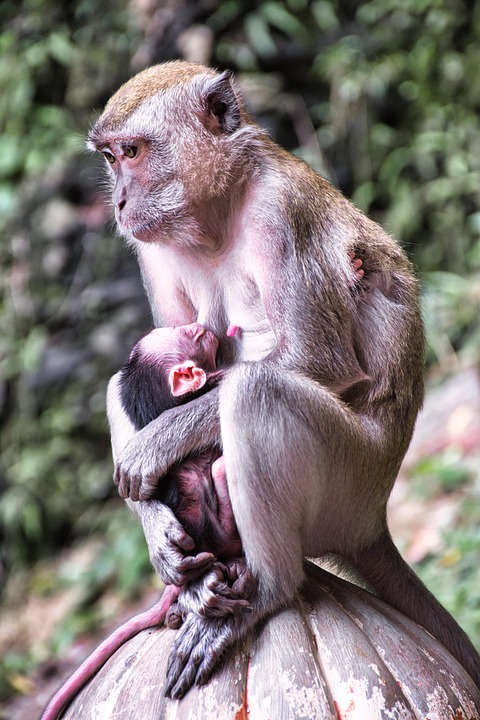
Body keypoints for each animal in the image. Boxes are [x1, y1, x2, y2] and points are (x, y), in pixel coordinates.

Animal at [88, 61, 480, 698]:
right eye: (110, 158)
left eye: (133, 152)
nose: (119, 201)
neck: (219, 207)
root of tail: (372, 519)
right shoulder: (152, 246)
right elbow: (143, 357)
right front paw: (158, 532)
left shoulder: (282, 212)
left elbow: (320, 362)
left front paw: (157, 445)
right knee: (131, 383)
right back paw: (198, 583)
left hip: (347, 482)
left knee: (255, 393)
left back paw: (267, 591)